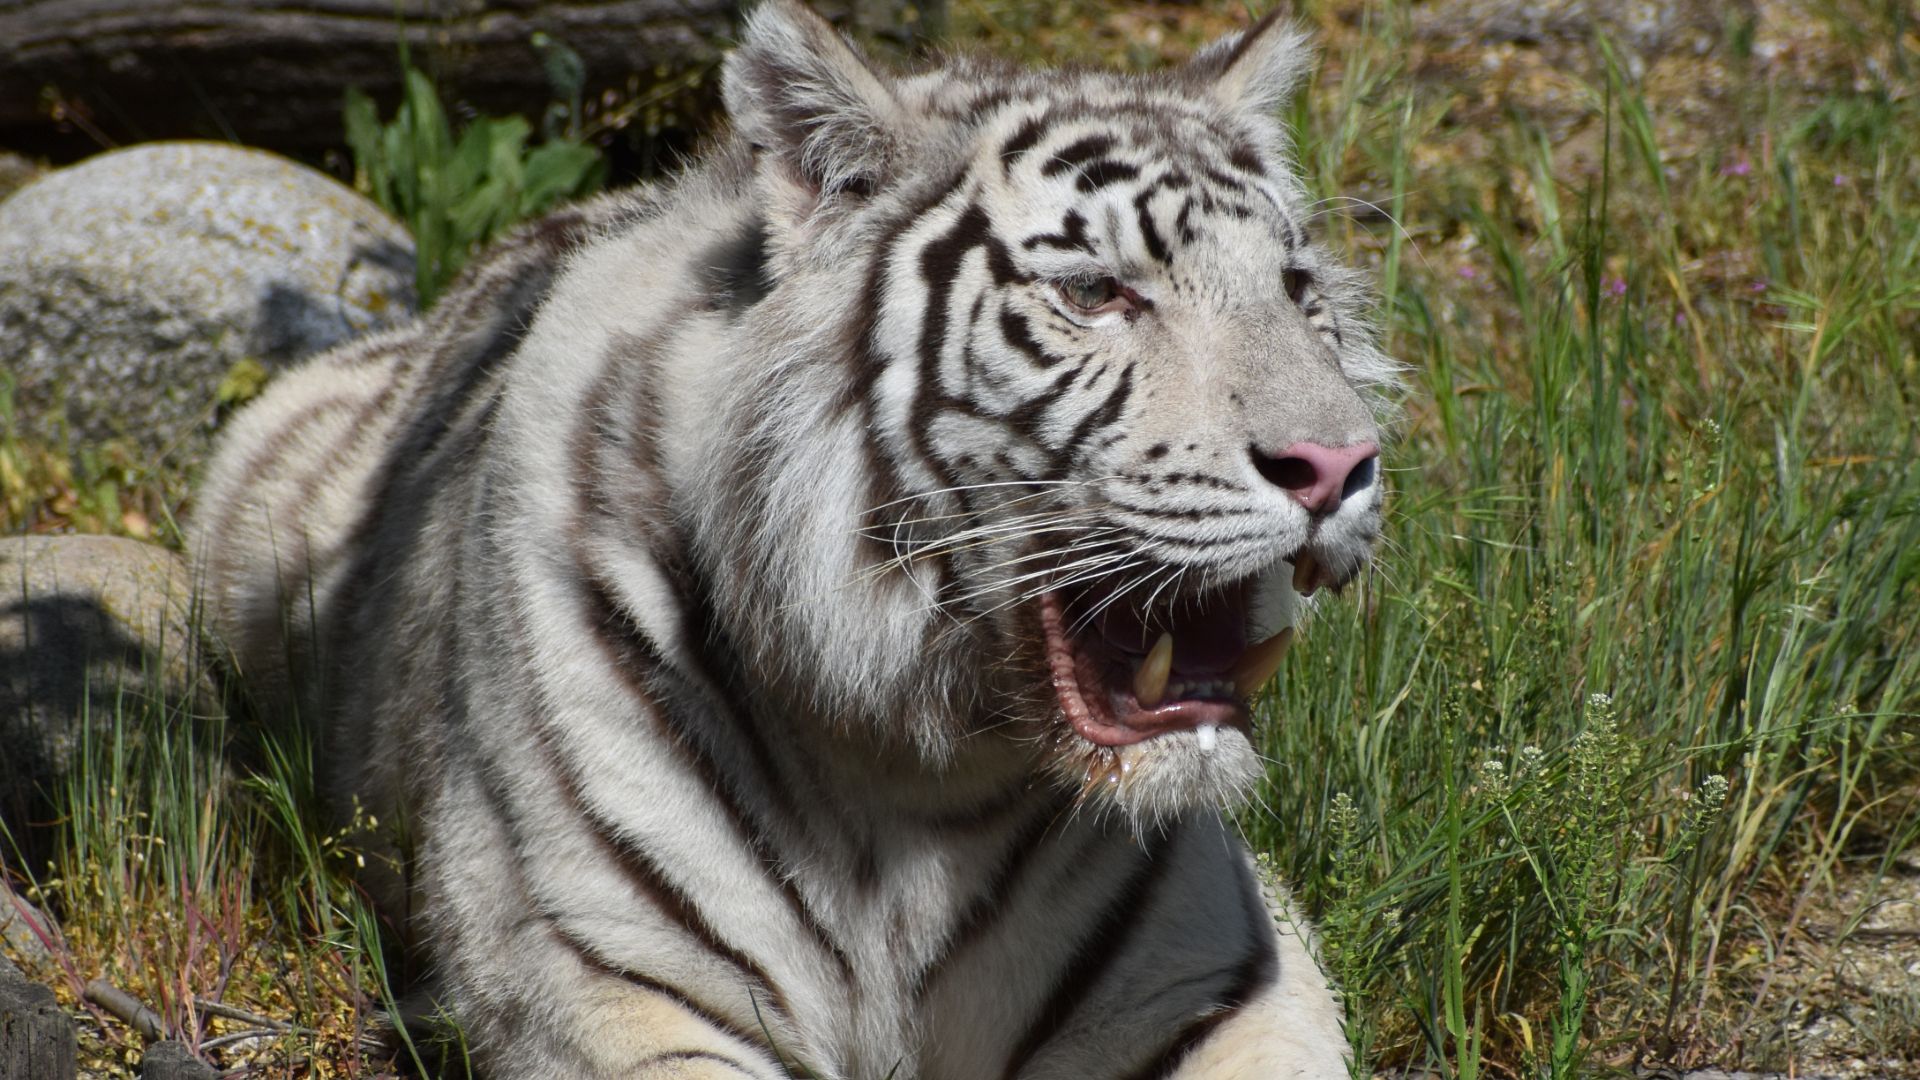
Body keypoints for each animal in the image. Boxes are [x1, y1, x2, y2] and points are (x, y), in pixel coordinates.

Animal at [187, 1, 1398, 1076]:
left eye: (1297, 292)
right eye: (1097, 293)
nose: (1338, 465)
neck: (914, 771)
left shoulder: (1216, 983)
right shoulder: (609, 980)